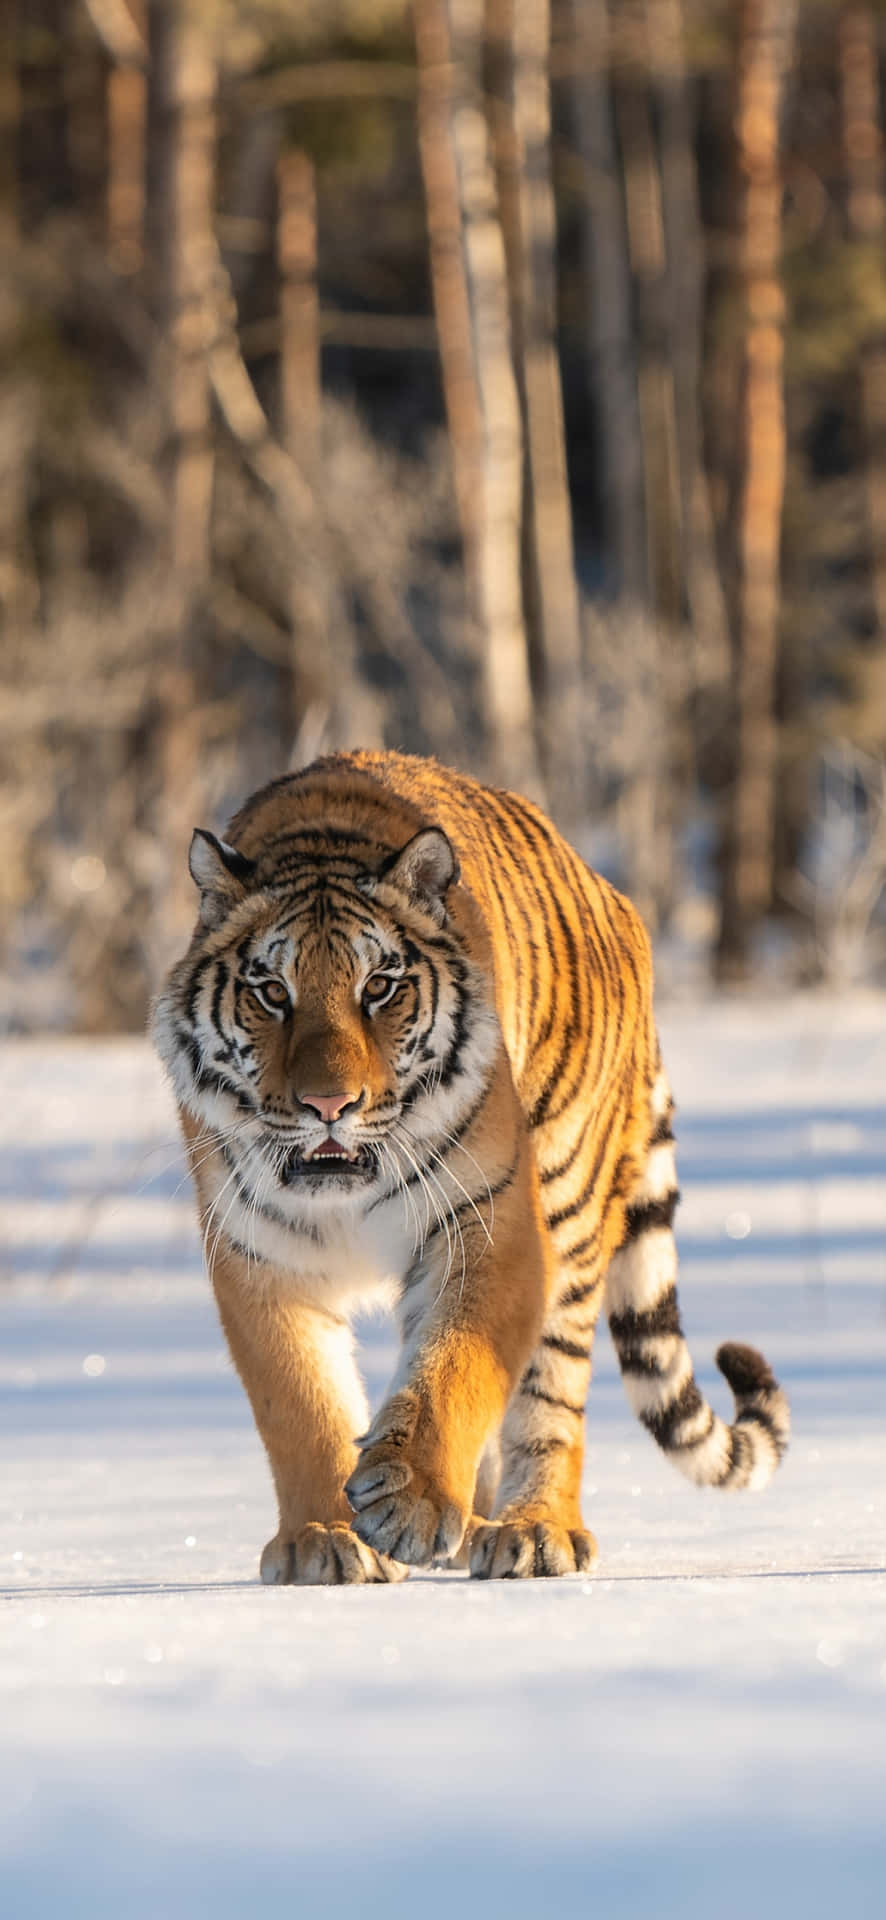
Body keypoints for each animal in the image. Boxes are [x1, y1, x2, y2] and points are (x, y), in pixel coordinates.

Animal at [152, 749, 789, 1585]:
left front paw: (412, 1505)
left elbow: (454, 1369)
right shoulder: (258, 1257)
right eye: (271, 992)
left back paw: (532, 1530)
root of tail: (615, 898)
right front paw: (323, 1539)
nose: (328, 1104)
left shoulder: (491, 1226)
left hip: (570, 1213)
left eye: (378, 987)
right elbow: (302, 1403)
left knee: (551, 1399)